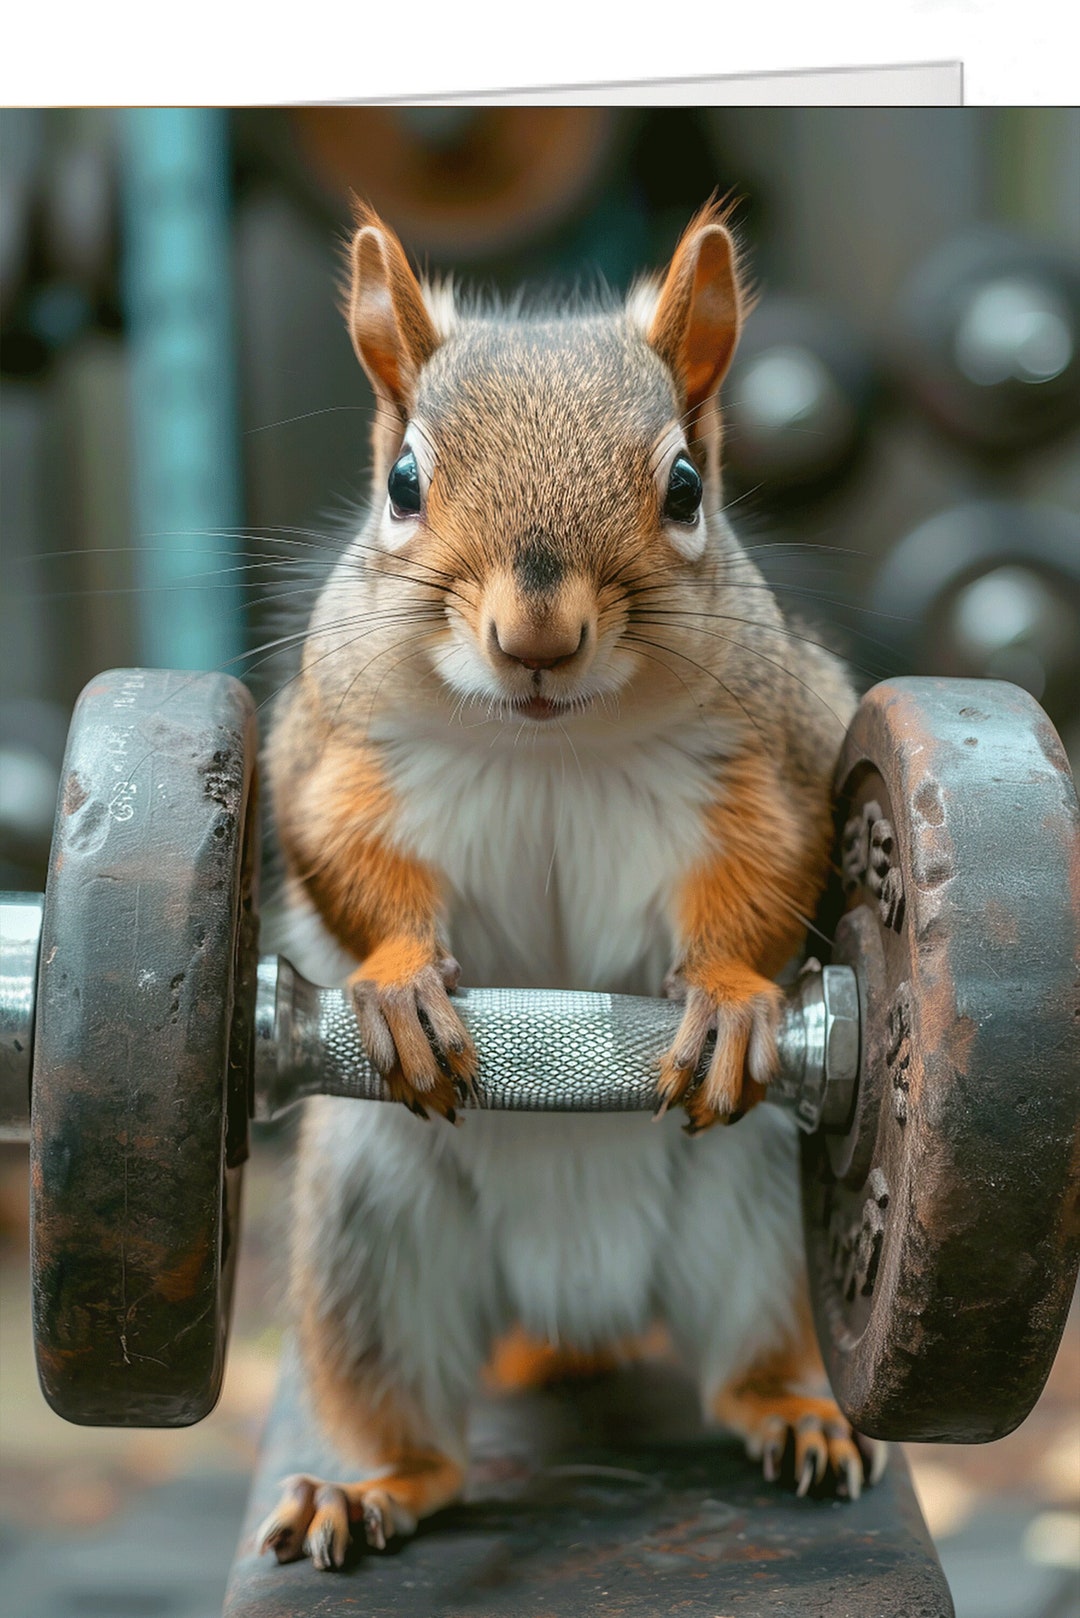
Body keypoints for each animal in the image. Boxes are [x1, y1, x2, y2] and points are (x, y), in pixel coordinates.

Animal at [255, 199, 886, 1572]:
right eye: (402, 484)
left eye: (687, 488)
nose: (535, 639)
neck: (549, 740)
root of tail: (575, 1300)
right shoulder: (333, 754)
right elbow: (349, 869)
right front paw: (397, 984)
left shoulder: (772, 759)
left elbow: (764, 880)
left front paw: (730, 996)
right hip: (372, 1239)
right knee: (414, 1425)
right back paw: (370, 1487)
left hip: (765, 1219)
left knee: (749, 1365)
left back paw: (803, 1416)